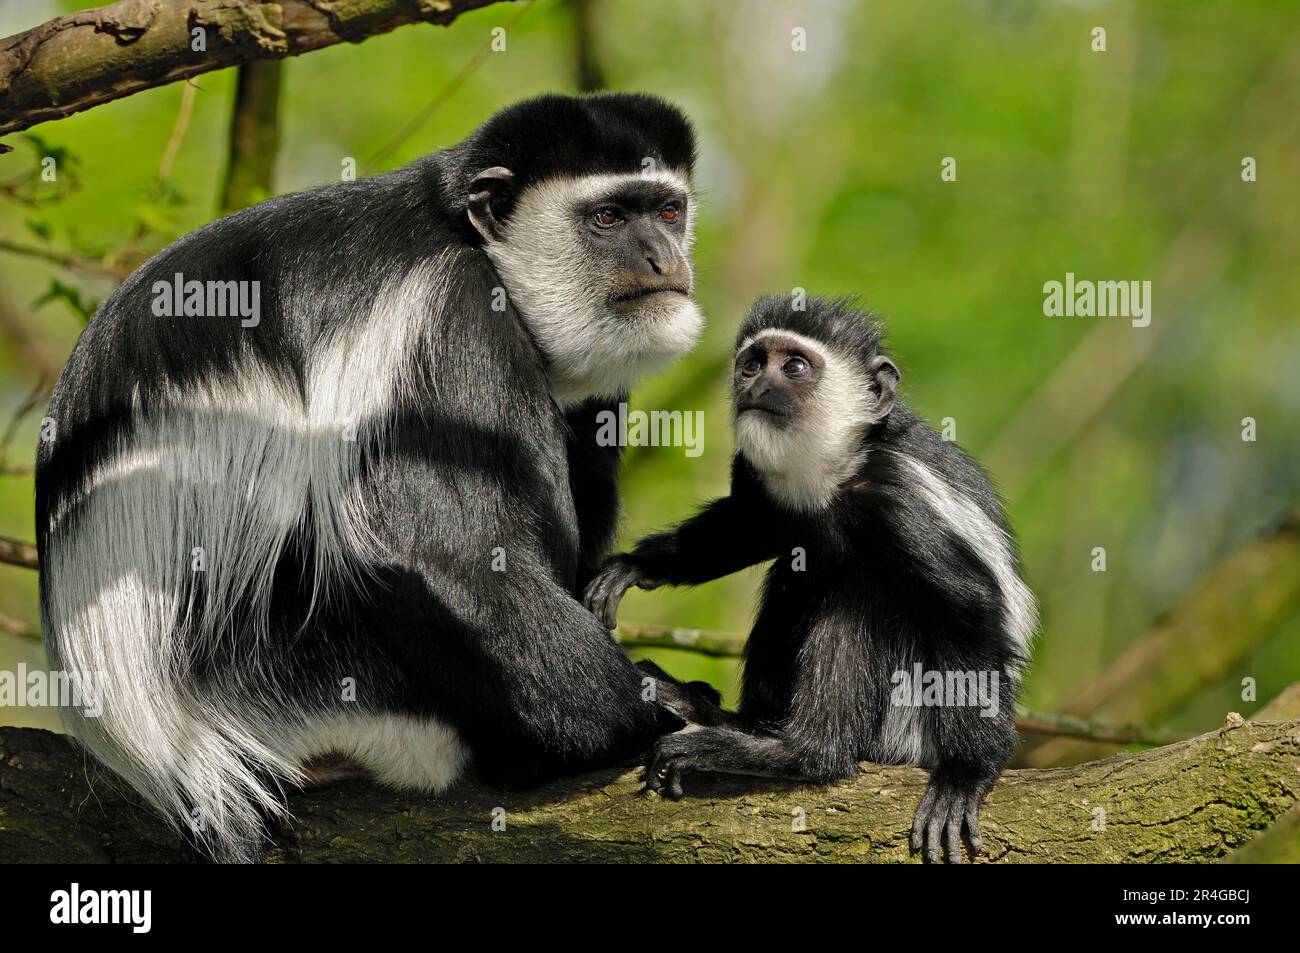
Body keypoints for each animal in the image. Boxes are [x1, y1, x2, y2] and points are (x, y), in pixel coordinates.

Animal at [35, 93, 722, 862]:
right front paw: (656, 709)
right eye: (607, 218)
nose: (664, 258)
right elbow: (441, 549)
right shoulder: (441, 309)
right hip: (314, 681)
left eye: (668, 211)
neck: (461, 228)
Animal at [583, 295, 1037, 863]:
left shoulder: (898, 497)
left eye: (795, 367)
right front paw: (636, 566)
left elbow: (969, 608)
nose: (756, 385)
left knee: (858, 598)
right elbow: (750, 526)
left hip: (908, 717)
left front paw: (964, 777)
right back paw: (723, 719)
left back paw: (798, 751)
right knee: (798, 574)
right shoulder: (759, 477)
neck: (834, 469)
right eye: (754, 362)